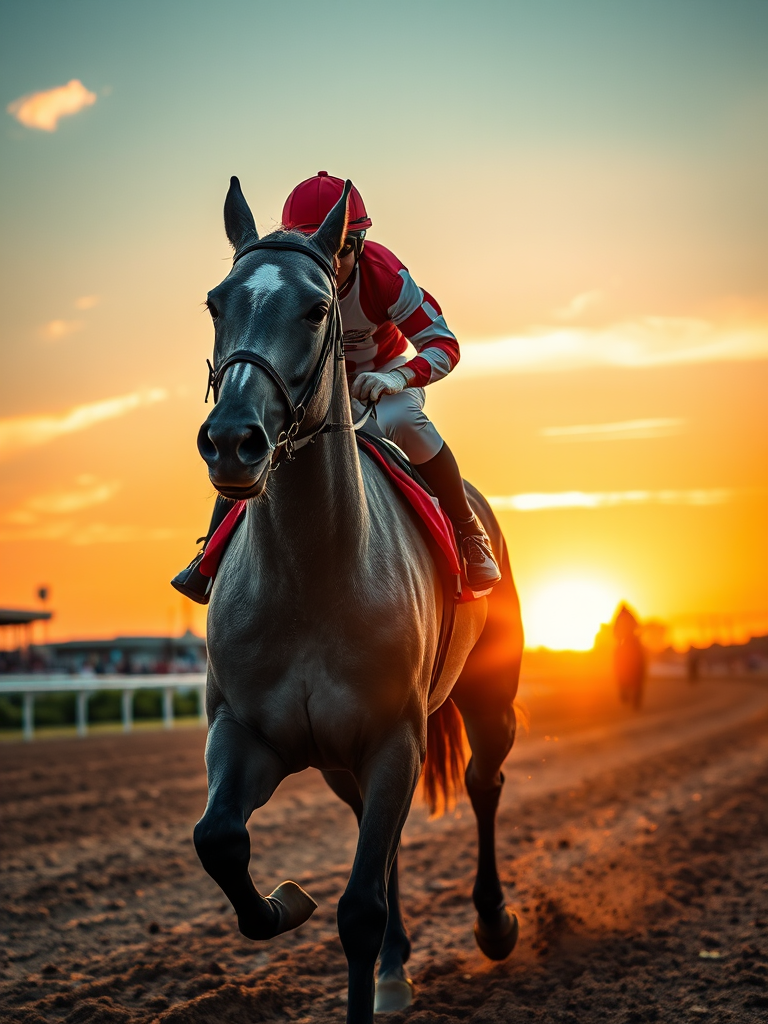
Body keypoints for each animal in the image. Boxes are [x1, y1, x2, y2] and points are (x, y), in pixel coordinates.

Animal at [191, 176, 524, 1024]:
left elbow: (359, 911)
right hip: (345, 763)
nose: (233, 440)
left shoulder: (394, 738)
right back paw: (398, 971)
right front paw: (286, 901)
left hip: (487, 694)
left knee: (484, 785)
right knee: (390, 841)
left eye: (316, 309)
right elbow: (220, 840)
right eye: (215, 302)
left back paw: (494, 923)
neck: (313, 576)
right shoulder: (248, 730)